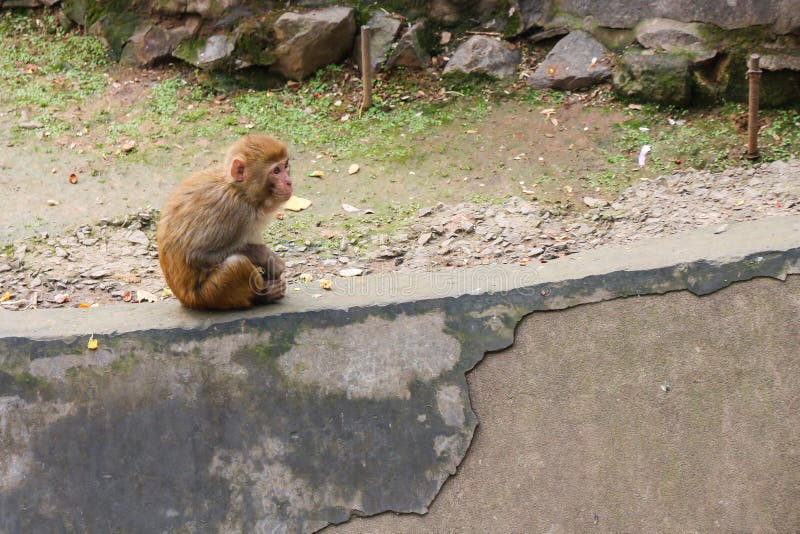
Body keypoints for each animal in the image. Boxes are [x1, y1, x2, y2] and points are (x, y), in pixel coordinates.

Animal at [156, 133, 292, 310]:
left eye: (285, 166)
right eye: (276, 171)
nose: (289, 182)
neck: (239, 192)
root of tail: (183, 300)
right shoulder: (233, 211)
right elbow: (197, 254)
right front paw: (267, 257)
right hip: (205, 297)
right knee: (236, 263)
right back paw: (264, 295)